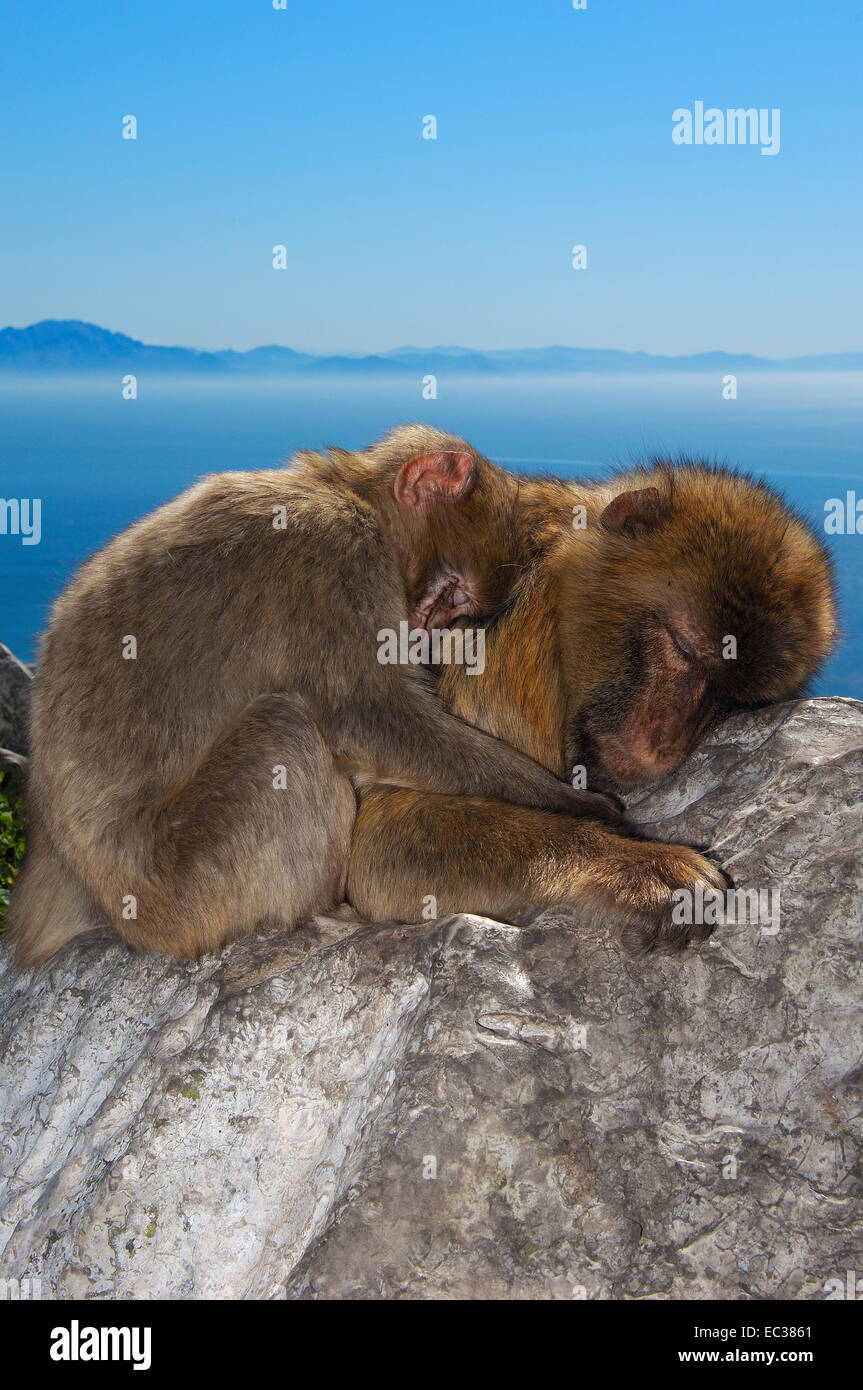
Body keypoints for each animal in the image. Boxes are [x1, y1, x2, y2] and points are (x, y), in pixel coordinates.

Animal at [8, 426, 623, 967]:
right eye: (454, 595)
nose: (425, 634)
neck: (344, 490)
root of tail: (114, 911)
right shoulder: (335, 553)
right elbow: (373, 720)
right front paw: (585, 807)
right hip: (187, 892)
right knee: (286, 731)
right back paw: (317, 912)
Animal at [345, 447, 838, 949]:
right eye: (683, 648)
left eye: (733, 701)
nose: (668, 741)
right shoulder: (507, 659)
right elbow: (380, 835)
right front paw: (627, 861)